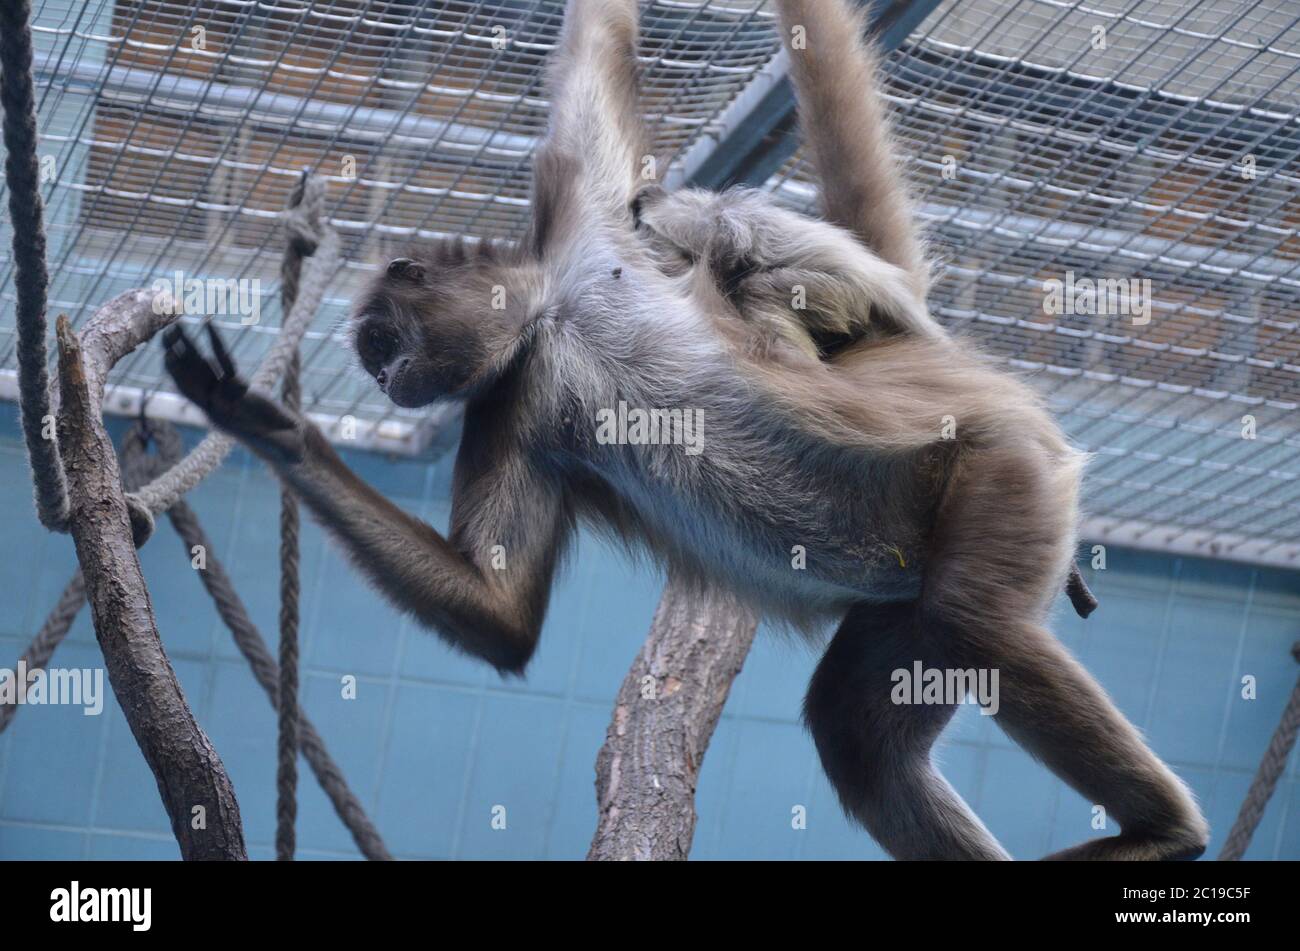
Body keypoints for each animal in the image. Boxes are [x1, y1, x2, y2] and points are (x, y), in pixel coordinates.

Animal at [164, 0, 1207, 860]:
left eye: (383, 343)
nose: (383, 379)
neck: (555, 318)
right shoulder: (513, 400)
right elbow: (497, 616)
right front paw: (261, 421)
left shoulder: (584, 212)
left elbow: (601, 39)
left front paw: (251, 409)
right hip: (905, 591)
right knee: (860, 723)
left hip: (1003, 466)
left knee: (972, 617)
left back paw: (1168, 831)